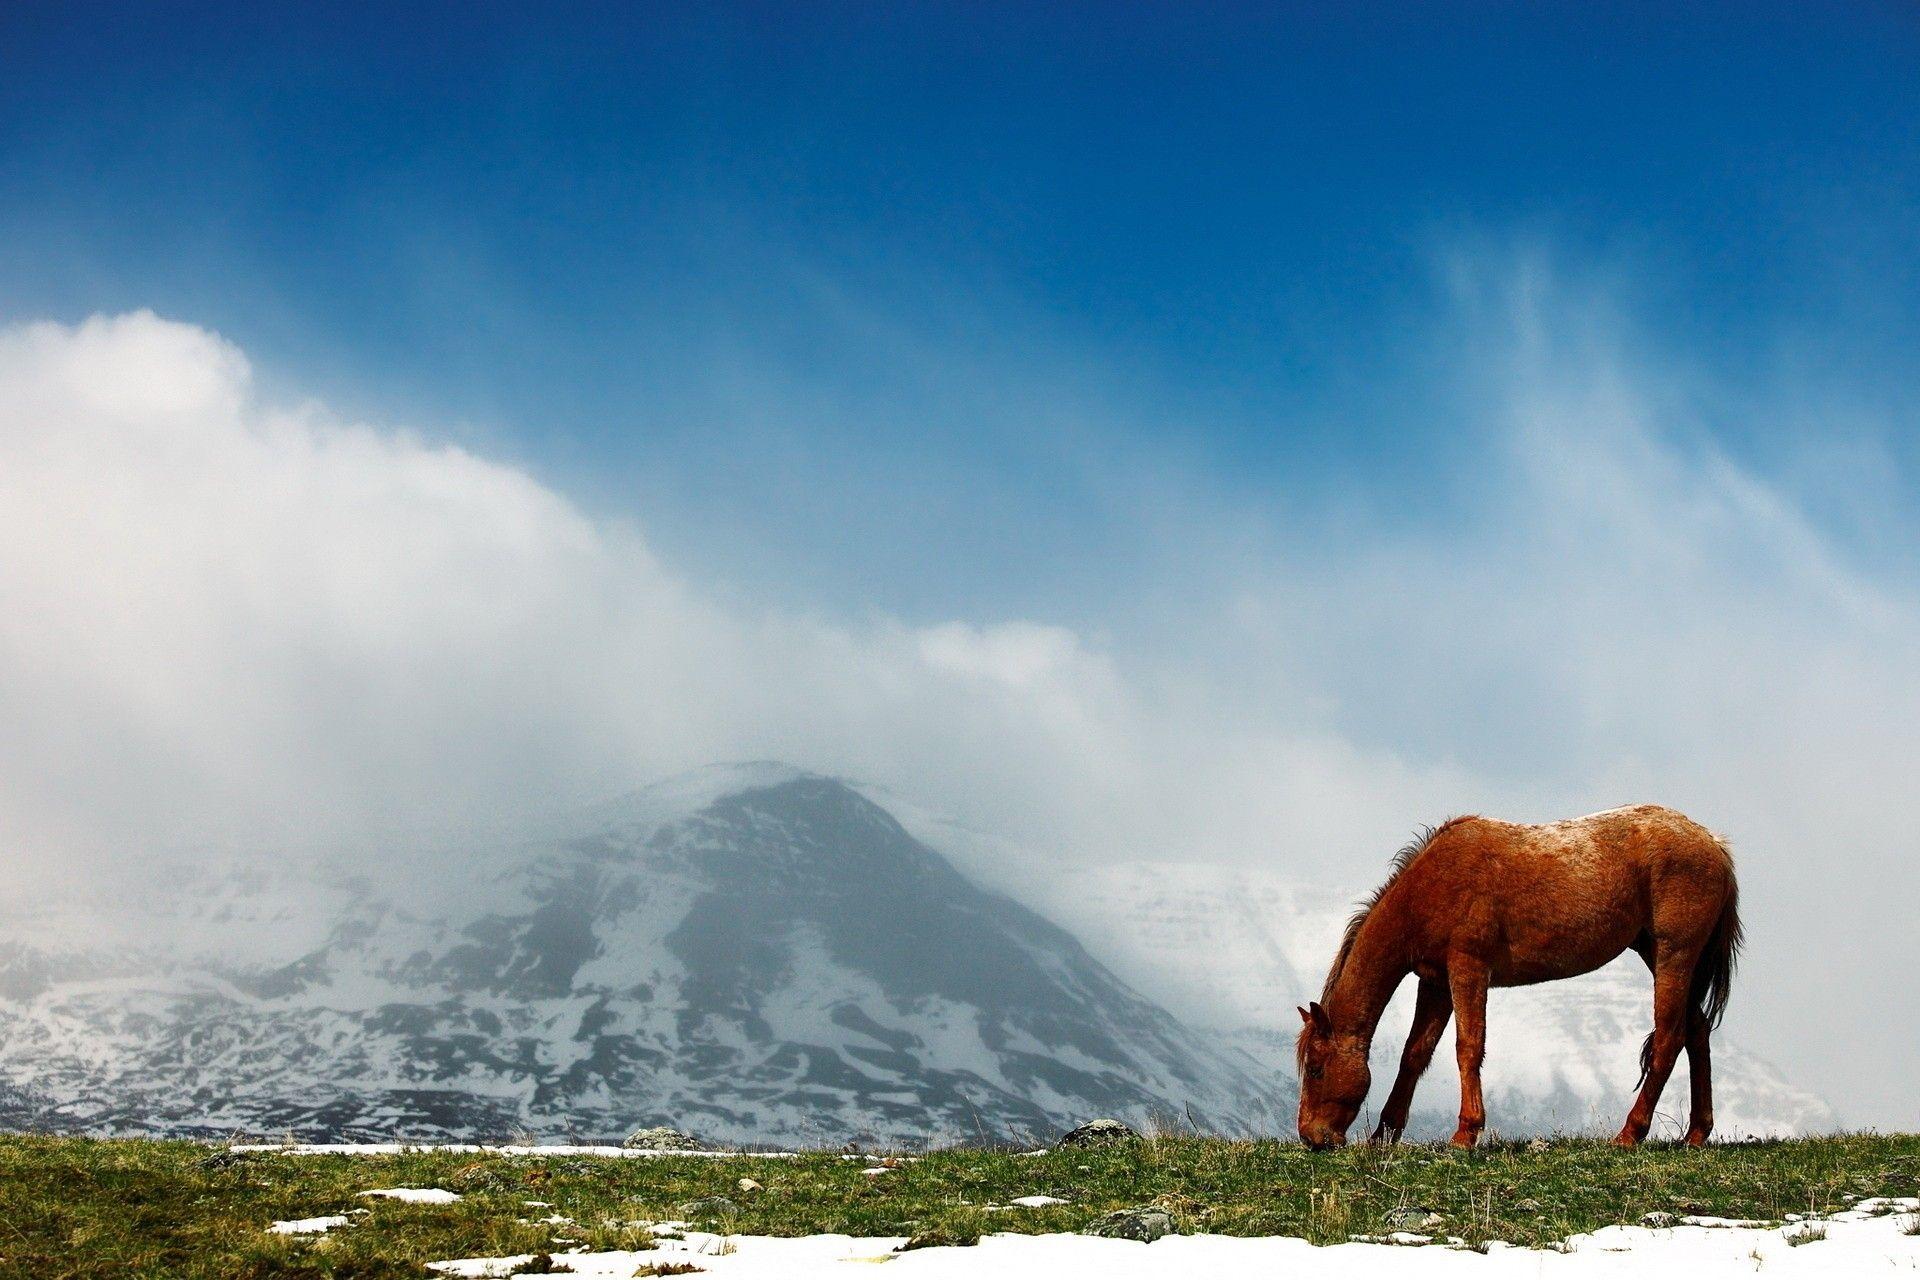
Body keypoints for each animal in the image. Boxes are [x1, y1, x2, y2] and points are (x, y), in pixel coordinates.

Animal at [1295, 804, 1741, 1150]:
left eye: (1316, 1069)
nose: (1310, 1137)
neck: (1429, 887)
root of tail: (1714, 844)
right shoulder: (1435, 981)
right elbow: (1415, 1054)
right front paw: (1384, 1135)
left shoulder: (1468, 969)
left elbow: (1468, 1047)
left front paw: (1466, 1134)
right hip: (1657, 954)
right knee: (1697, 1031)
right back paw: (1695, 1134)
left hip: (1673, 956)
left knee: (1669, 1039)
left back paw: (1630, 1134)